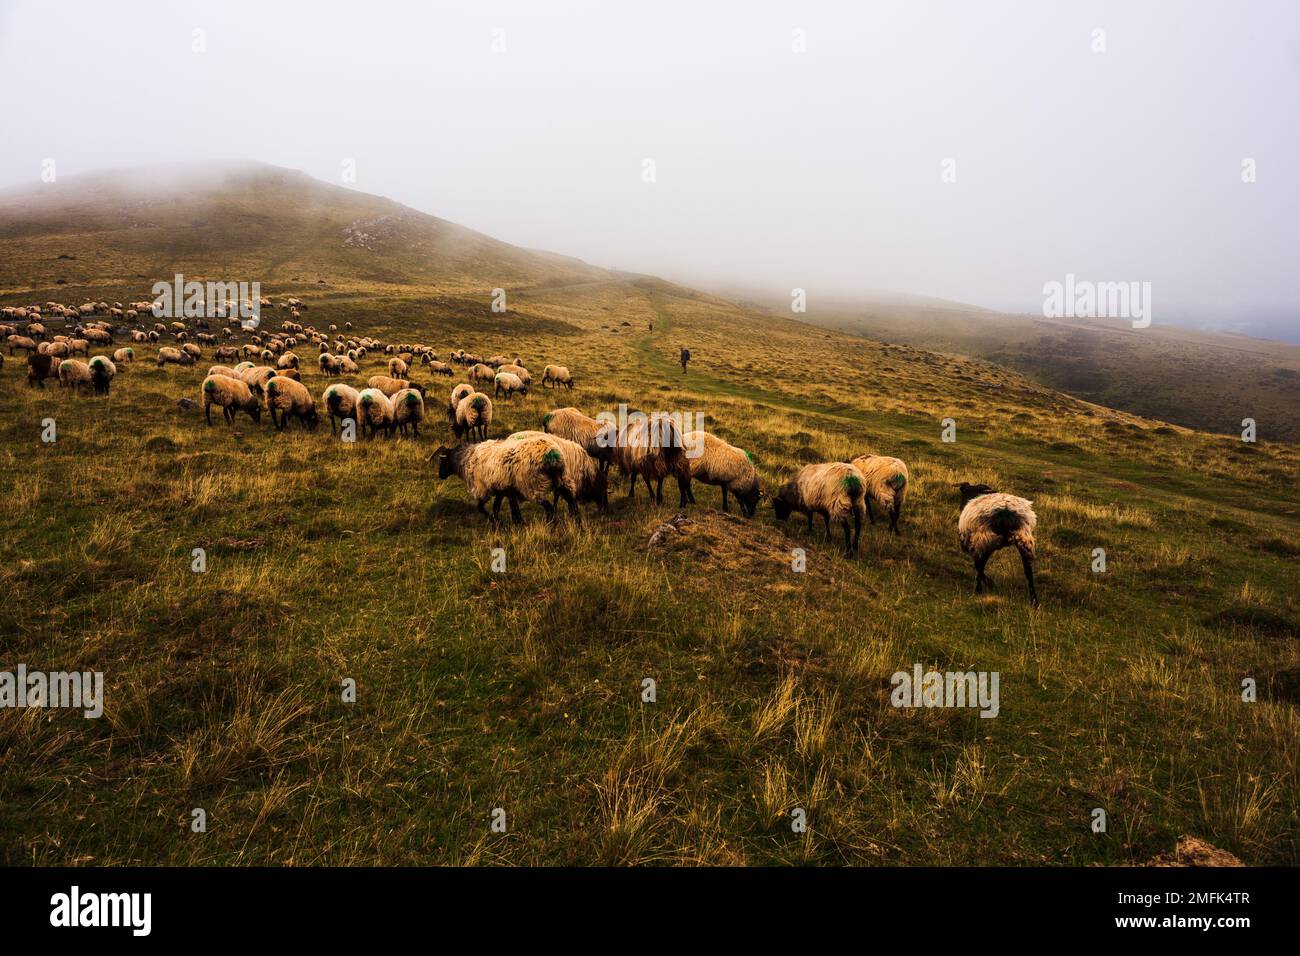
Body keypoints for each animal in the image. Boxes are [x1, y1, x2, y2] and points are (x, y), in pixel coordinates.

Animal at [432, 435, 573, 523]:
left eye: (442, 460)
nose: (440, 475)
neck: (466, 459)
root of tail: (552, 455)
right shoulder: (501, 490)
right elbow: (496, 508)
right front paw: (499, 522)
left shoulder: (483, 489)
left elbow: (481, 507)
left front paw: (494, 521)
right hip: (561, 480)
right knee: (571, 503)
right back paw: (576, 525)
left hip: (533, 485)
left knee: (549, 508)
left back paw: (550, 525)